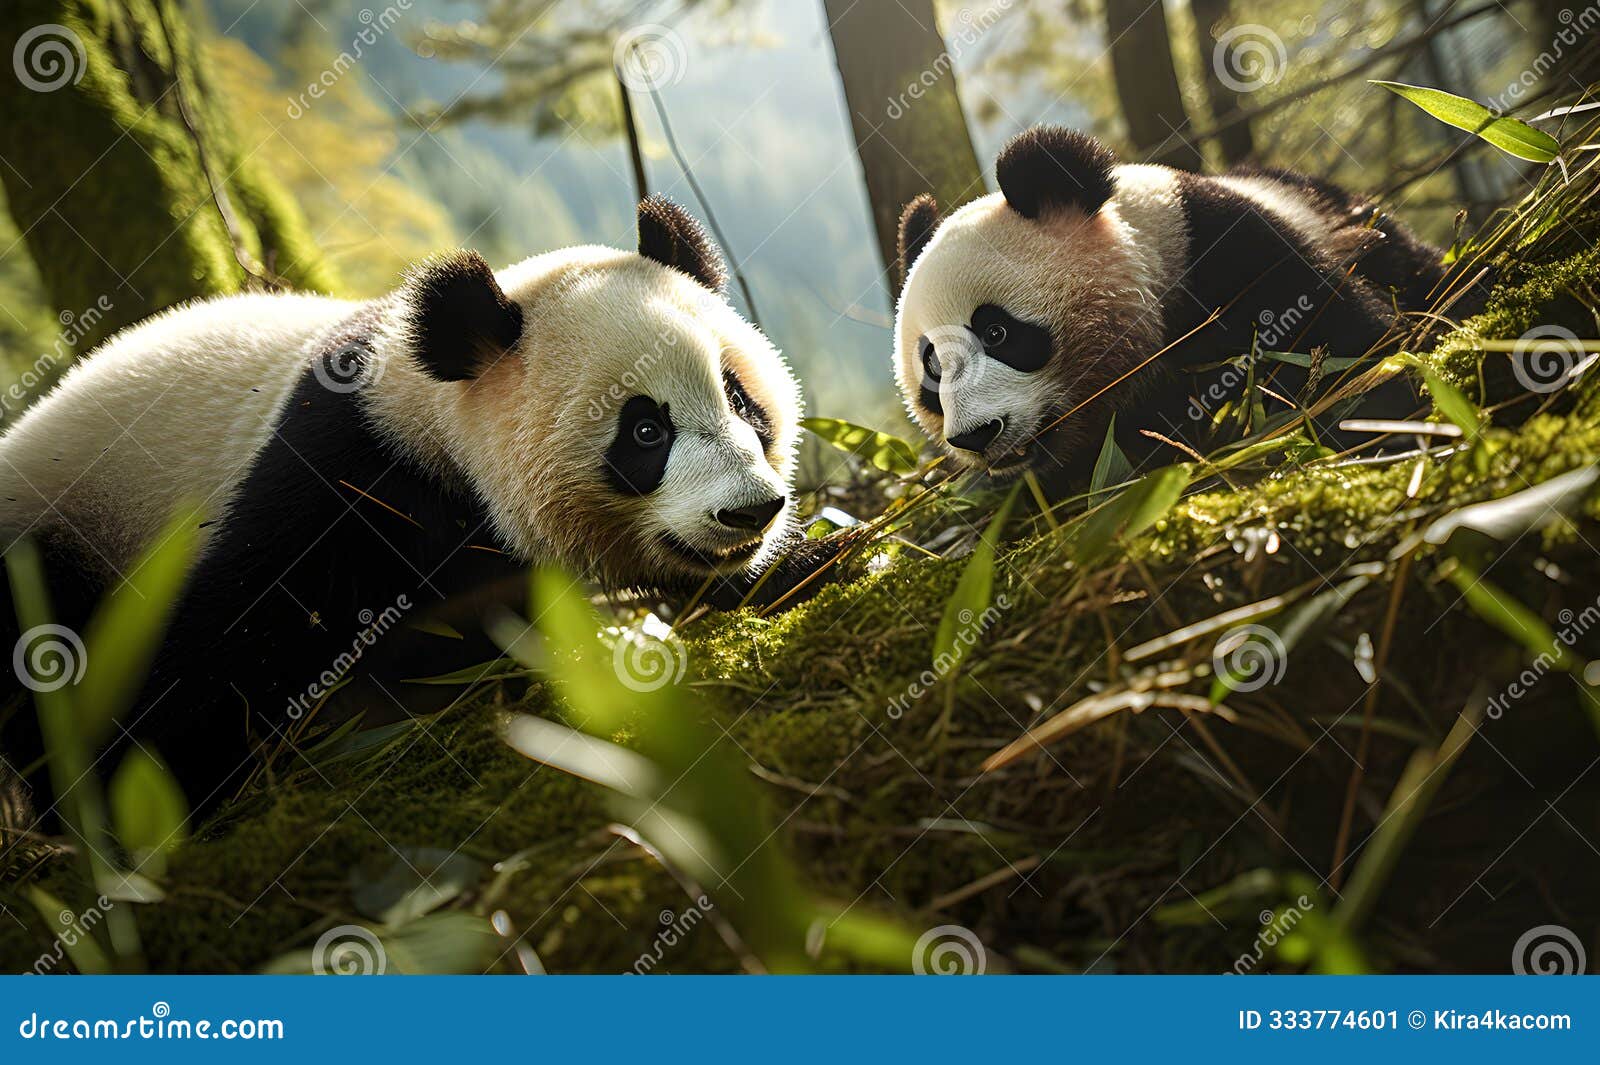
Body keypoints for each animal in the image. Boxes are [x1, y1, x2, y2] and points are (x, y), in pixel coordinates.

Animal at [0, 195, 815, 812]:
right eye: (646, 431)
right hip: (63, 527)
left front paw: (803, 561)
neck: (434, 421)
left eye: (742, 401)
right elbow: (230, 637)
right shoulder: (336, 473)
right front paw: (157, 794)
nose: (750, 511)